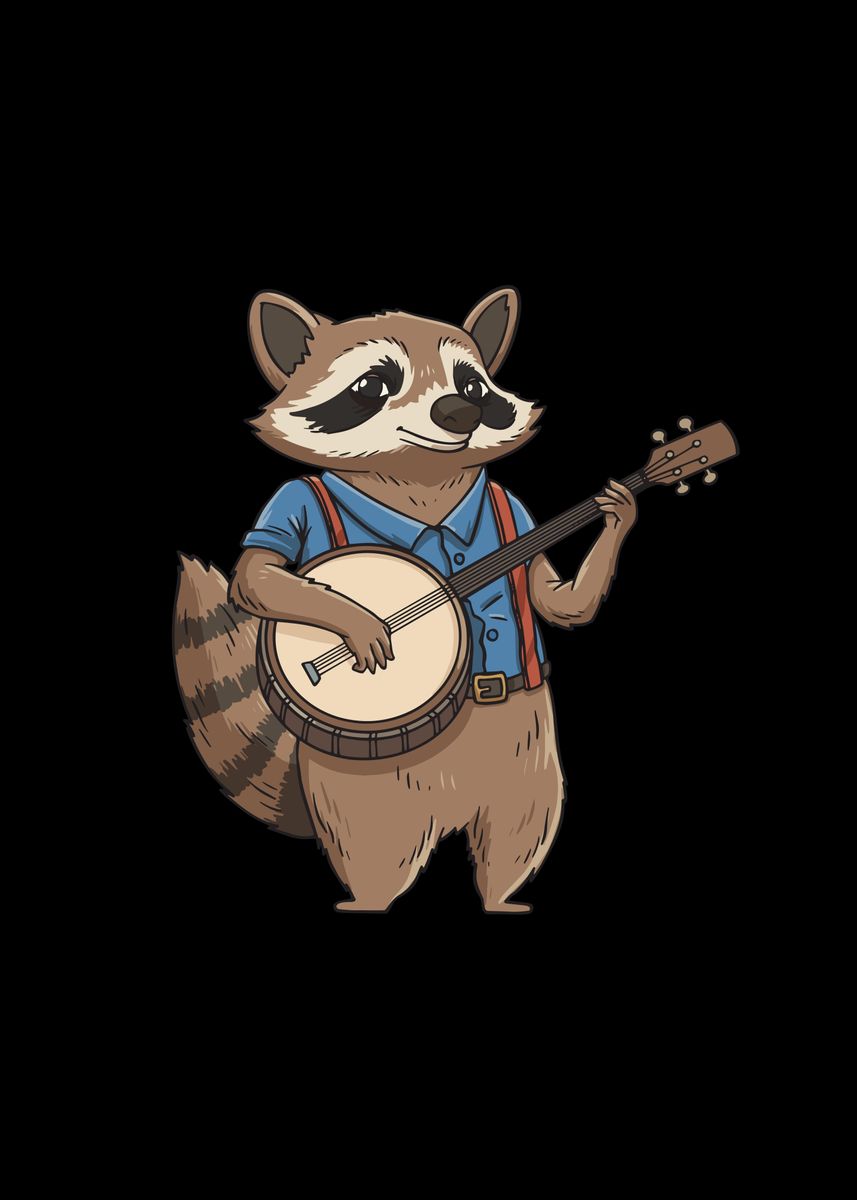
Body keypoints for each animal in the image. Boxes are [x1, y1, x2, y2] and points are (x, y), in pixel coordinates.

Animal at [173, 288, 637, 912]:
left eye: (473, 388)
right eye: (373, 385)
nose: (458, 412)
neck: (421, 488)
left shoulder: (517, 516)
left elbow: (553, 598)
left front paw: (623, 507)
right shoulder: (289, 501)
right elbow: (257, 576)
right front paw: (362, 624)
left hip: (526, 765)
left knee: (515, 833)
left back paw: (503, 900)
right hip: (366, 795)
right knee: (377, 856)